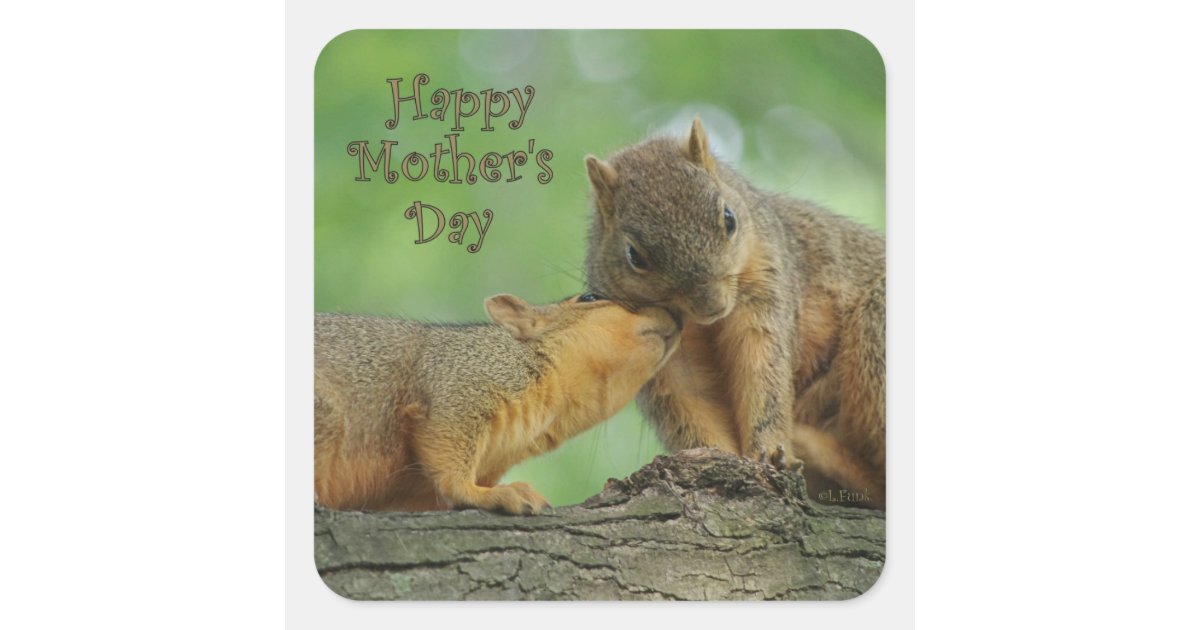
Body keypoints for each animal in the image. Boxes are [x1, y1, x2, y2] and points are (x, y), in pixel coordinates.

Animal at [314, 293, 680, 515]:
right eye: (589, 298)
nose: (677, 314)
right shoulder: (459, 382)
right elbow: (448, 463)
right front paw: (492, 495)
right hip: (325, 414)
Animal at [583, 117, 886, 509]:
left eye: (729, 219)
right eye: (634, 256)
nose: (711, 305)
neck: (700, 324)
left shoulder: (767, 287)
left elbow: (762, 370)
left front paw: (770, 451)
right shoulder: (657, 349)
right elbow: (688, 399)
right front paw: (718, 458)